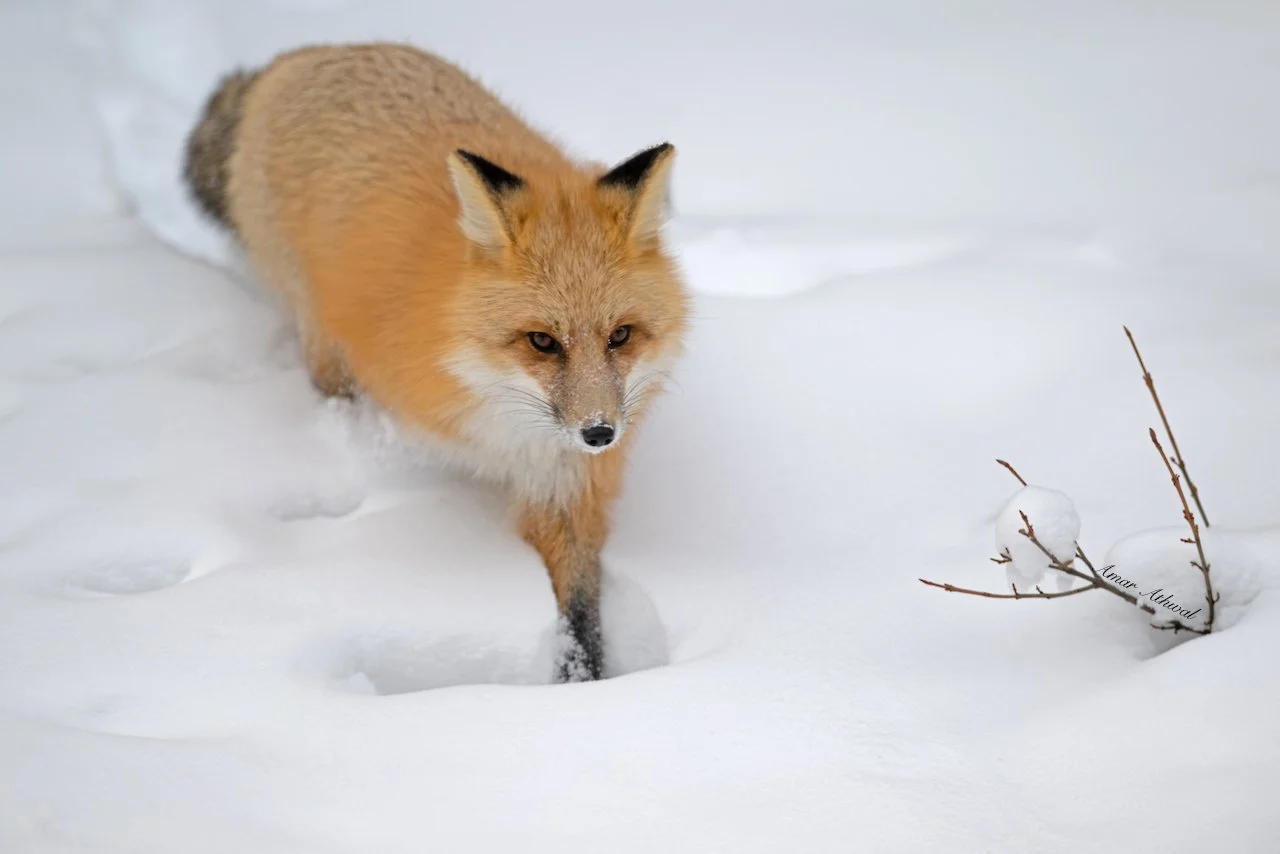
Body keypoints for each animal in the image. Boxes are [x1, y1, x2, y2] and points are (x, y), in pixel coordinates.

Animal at [182, 43, 689, 682]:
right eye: (542, 341)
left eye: (621, 335)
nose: (599, 434)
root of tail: (313, 54)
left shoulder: (564, 486)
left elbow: (580, 612)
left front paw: (584, 684)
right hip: (319, 331)